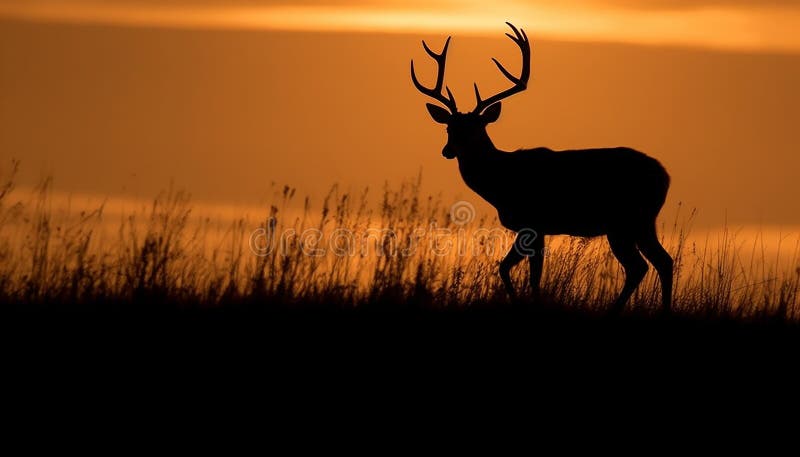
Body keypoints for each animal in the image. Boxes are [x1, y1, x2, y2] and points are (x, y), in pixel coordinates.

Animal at [411, 23, 673, 314]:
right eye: (449, 128)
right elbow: (505, 267)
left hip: (625, 221)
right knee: (661, 261)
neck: (501, 181)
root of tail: (665, 175)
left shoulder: (534, 224)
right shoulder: (533, 228)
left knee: (640, 266)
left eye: (476, 128)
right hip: (641, 222)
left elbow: (532, 275)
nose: (447, 151)